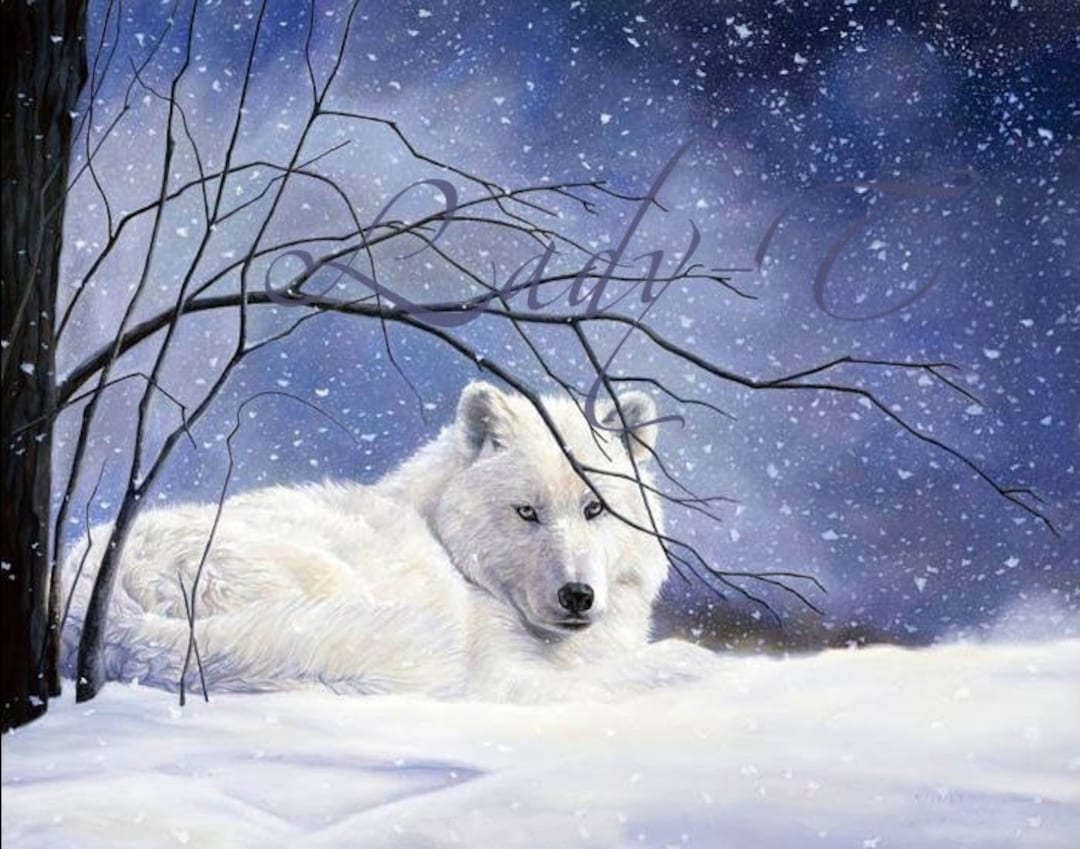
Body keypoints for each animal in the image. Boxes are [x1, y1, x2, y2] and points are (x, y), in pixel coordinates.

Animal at [61, 382, 714, 701]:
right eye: (527, 512)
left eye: (594, 508)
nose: (577, 596)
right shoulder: (509, 674)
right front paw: (685, 666)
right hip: (323, 583)